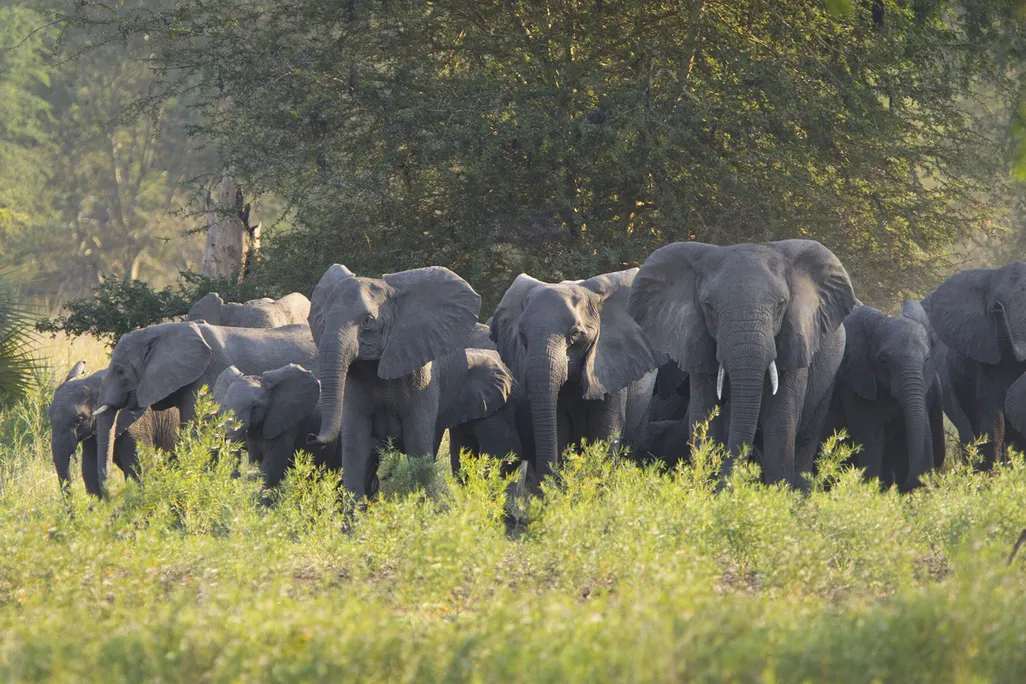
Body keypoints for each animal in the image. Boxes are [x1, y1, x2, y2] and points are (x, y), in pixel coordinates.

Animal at [307, 265, 486, 499]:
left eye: (367, 321)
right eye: (323, 321)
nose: (312, 437)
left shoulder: (422, 376)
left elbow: (418, 444)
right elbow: (355, 446)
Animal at [627, 240, 856, 488]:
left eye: (781, 305)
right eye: (708, 306)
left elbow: (780, 424)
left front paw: (777, 493)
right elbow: (705, 419)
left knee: (804, 440)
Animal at [821, 302, 945, 490]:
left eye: (927, 360)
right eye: (884, 361)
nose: (905, 482)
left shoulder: (927, 390)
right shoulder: (854, 383)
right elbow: (871, 437)